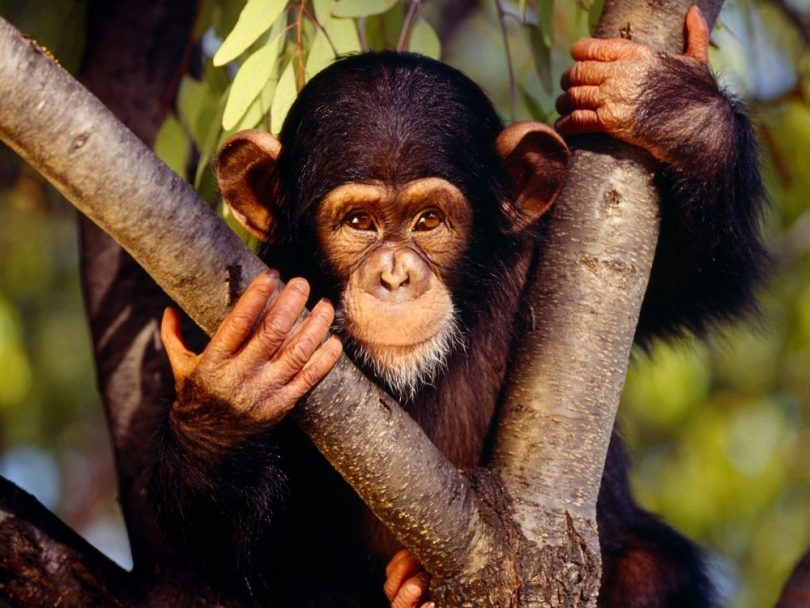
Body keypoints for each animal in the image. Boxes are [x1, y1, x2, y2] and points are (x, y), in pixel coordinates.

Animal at [150, 6, 767, 607]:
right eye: (358, 223)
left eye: (428, 220)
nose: (395, 275)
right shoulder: (229, 292)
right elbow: (205, 559)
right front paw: (233, 395)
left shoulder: (548, 254)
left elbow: (697, 275)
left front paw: (672, 108)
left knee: (651, 569)